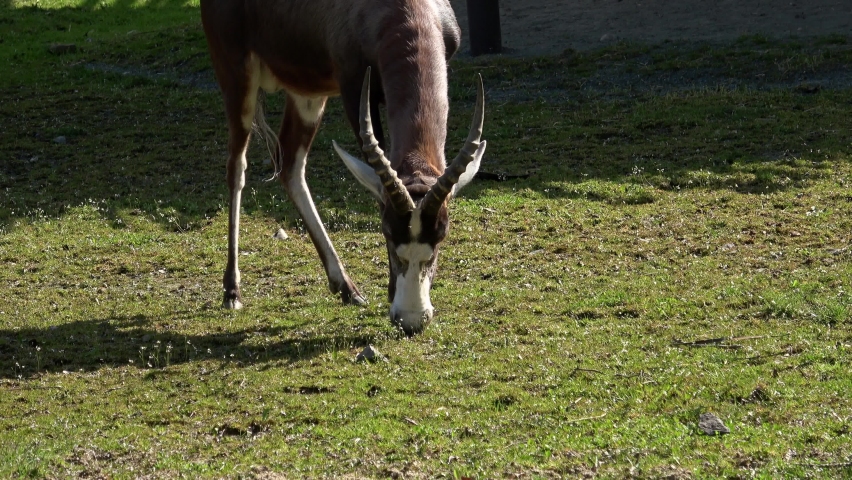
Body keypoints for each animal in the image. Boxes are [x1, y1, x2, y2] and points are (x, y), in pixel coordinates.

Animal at [200, 0, 486, 335]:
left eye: (441, 235)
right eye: (387, 230)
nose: (412, 319)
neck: (401, 11)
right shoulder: (354, 91)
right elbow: (376, 185)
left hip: (307, 93)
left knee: (290, 166)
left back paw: (347, 289)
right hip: (237, 77)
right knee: (237, 166)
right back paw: (232, 291)